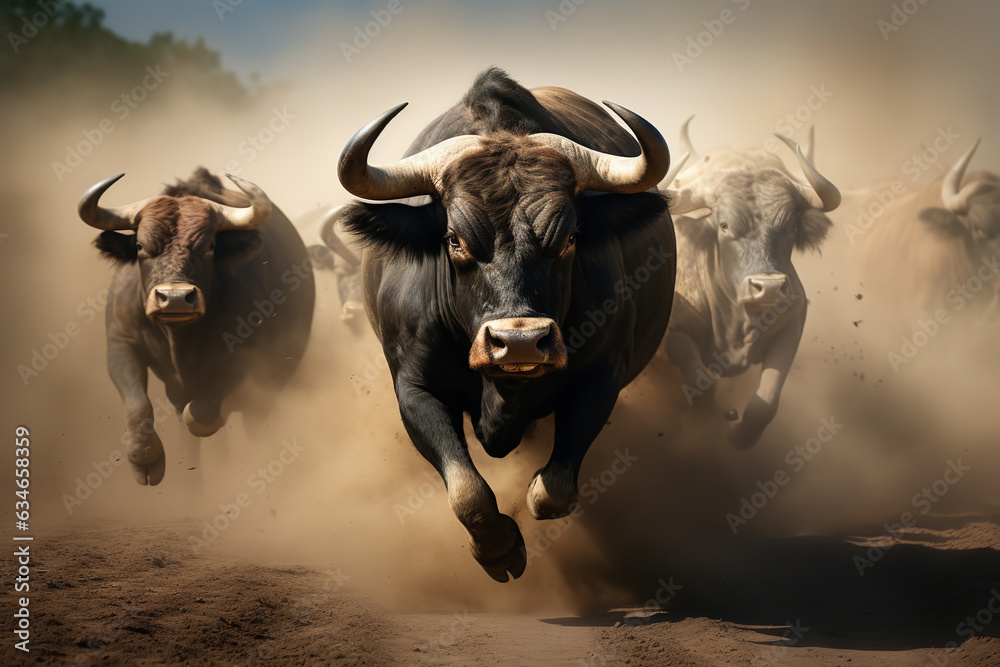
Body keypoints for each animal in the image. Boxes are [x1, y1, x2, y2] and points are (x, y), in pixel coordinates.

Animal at [78, 168, 315, 486]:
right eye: (140, 246)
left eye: (209, 246)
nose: (176, 298)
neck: (178, 339)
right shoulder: (121, 344)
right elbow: (138, 405)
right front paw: (145, 458)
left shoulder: (252, 355)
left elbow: (201, 410)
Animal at [336, 68, 676, 581]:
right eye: (454, 239)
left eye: (569, 237)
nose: (520, 343)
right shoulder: (414, 388)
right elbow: (467, 492)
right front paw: (500, 549)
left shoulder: (603, 376)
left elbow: (553, 492)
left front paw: (528, 501)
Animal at [660, 118, 841, 449]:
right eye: (723, 225)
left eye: (791, 226)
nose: (768, 287)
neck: (736, 321)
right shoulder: (675, 335)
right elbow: (702, 385)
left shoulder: (792, 328)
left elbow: (764, 405)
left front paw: (738, 436)